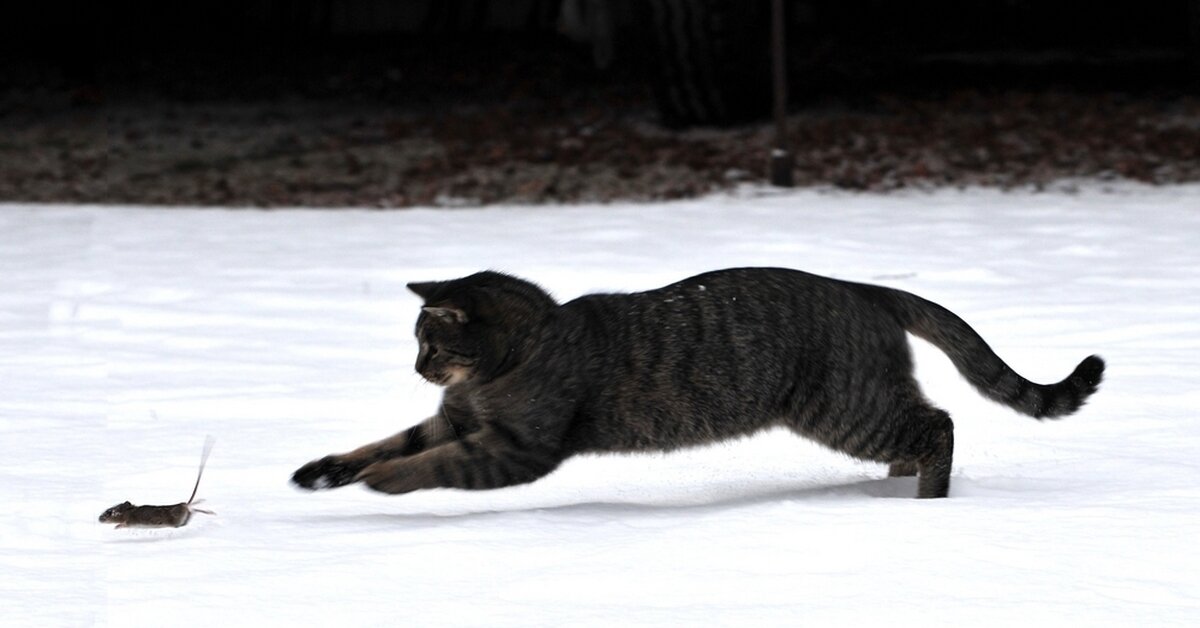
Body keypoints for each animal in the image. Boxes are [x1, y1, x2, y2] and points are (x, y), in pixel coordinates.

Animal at [292, 268, 1104, 501]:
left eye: (429, 342)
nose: (417, 369)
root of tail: (861, 286)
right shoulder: (458, 419)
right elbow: (388, 441)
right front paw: (328, 471)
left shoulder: (516, 446)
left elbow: (427, 463)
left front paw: (385, 484)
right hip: (863, 404)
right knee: (924, 424)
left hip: (844, 408)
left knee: (940, 425)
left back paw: (927, 501)